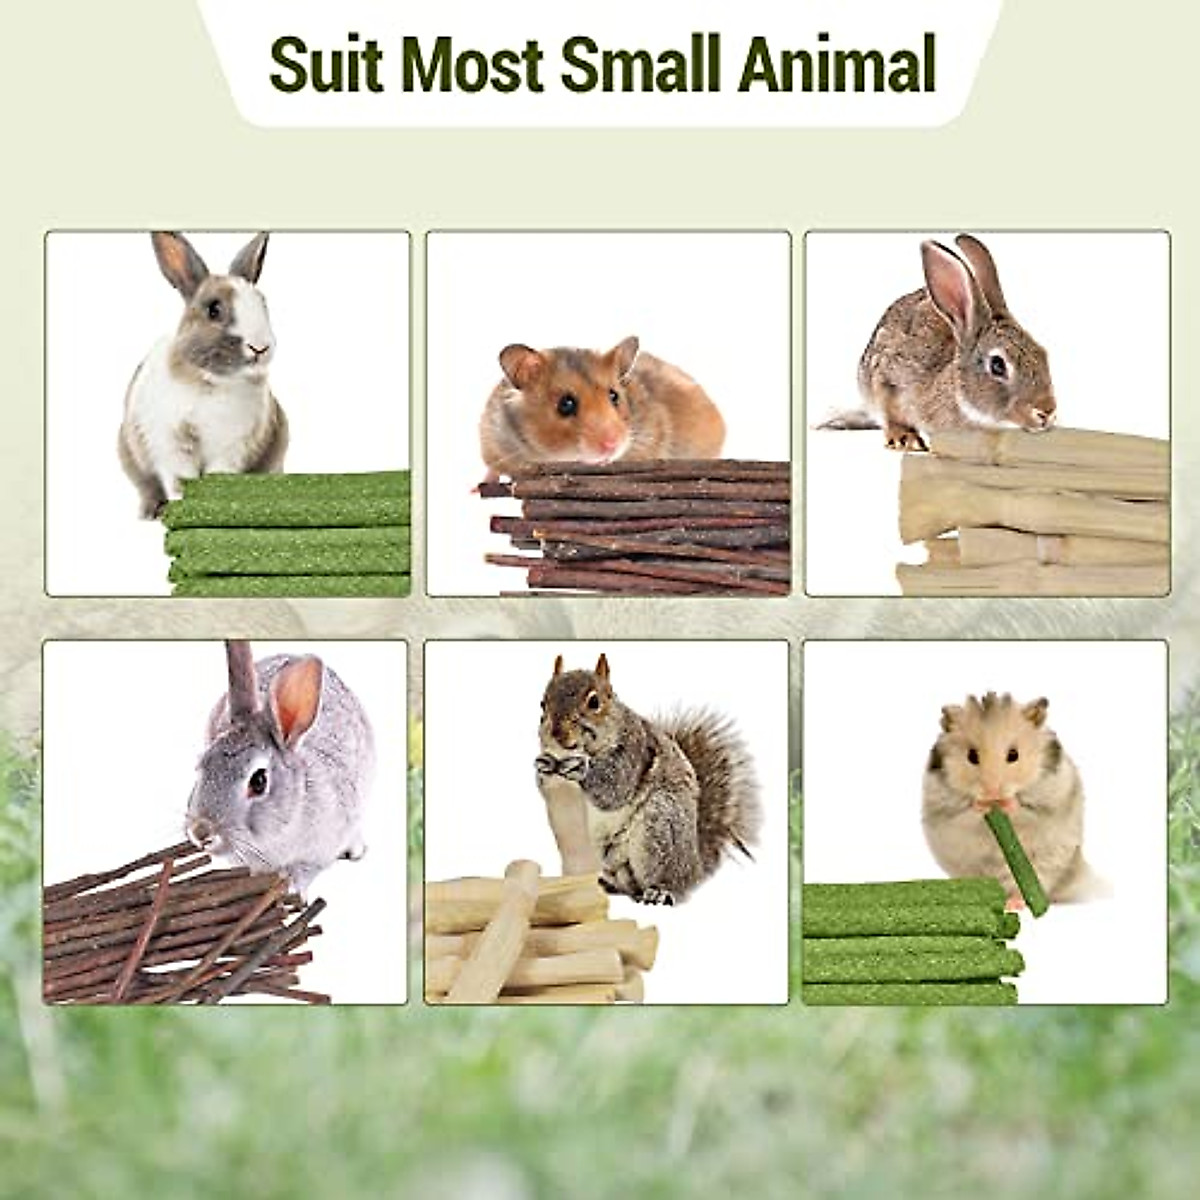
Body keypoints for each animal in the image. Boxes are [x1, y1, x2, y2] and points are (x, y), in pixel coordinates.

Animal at [118, 231, 289, 518]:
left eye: (263, 304)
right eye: (213, 310)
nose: (260, 347)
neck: (214, 381)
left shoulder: (232, 445)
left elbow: (219, 475)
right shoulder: (171, 443)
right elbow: (180, 479)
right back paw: (151, 512)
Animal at [185, 641, 374, 896]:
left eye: (259, 782)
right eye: (202, 765)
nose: (201, 832)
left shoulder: (319, 850)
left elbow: (304, 870)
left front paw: (291, 887)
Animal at [820, 234, 1057, 451]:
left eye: (1043, 354)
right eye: (997, 365)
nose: (1047, 411)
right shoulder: (886, 378)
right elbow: (890, 416)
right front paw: (905, 439)